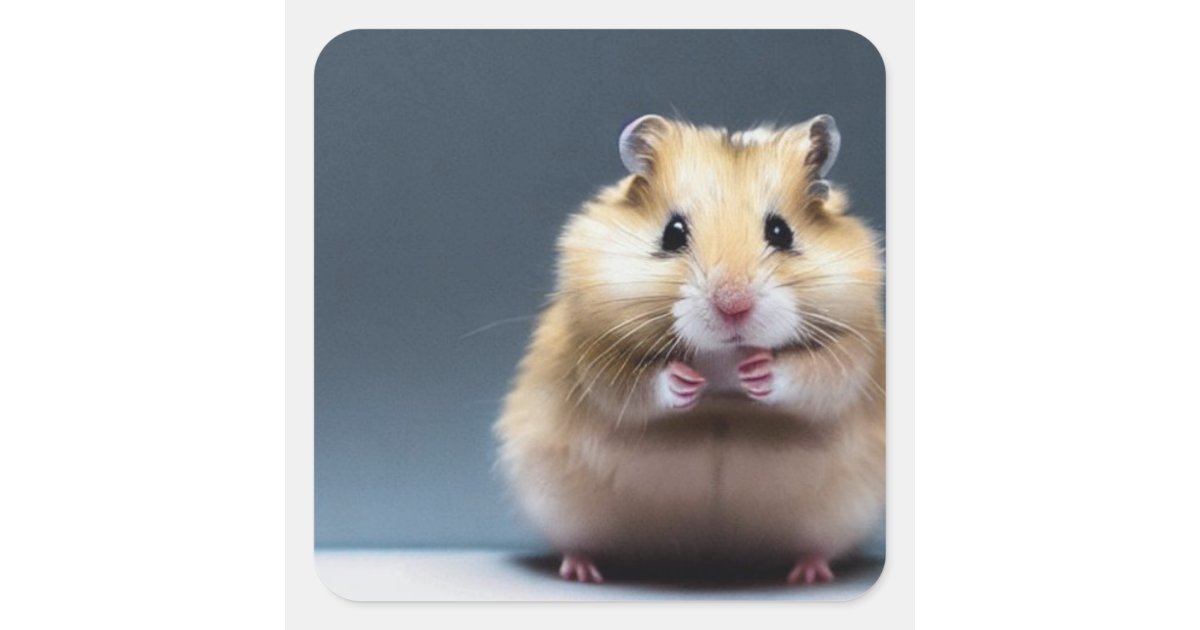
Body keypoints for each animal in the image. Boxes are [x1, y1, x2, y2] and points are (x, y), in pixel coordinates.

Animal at [494, 114, 884, 585]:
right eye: (673, 233)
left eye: (781, 231)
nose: (733, 306)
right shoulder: (592, 346)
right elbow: (624, 384)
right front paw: (685, 380)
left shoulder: (854, 344)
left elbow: (823, 374)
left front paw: (758, 372)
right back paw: (581, 570)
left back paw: (810, 572)